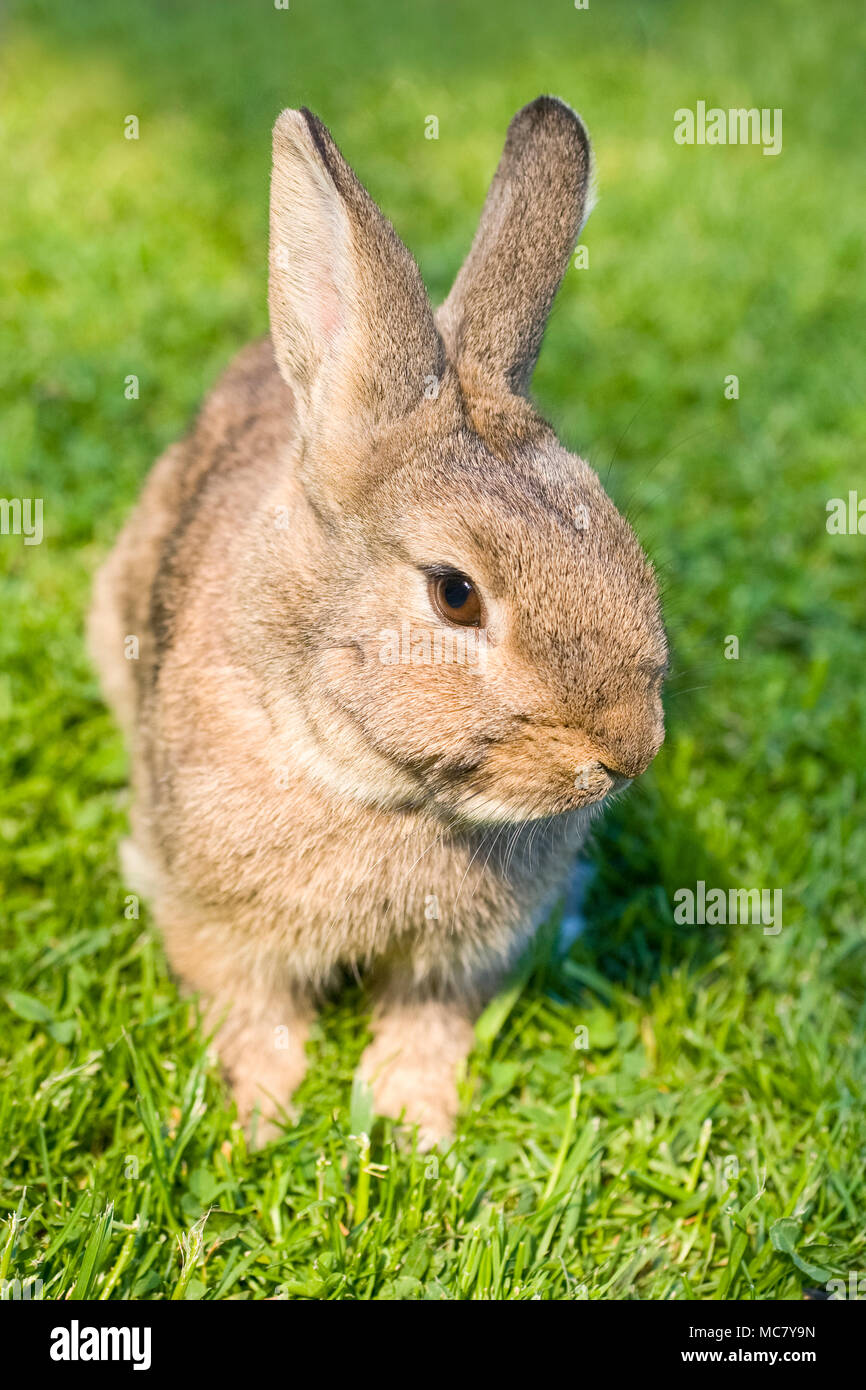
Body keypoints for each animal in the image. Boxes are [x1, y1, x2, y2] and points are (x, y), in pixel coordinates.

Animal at [88, 96, 668, 1148]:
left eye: (616, 534)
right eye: (455, 594)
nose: (626, 751)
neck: (391, 795)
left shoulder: (461, 962)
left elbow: (427, 1024)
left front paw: (414, 1125)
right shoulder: (216, 925)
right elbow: (255, 1014)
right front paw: (262, 1119)